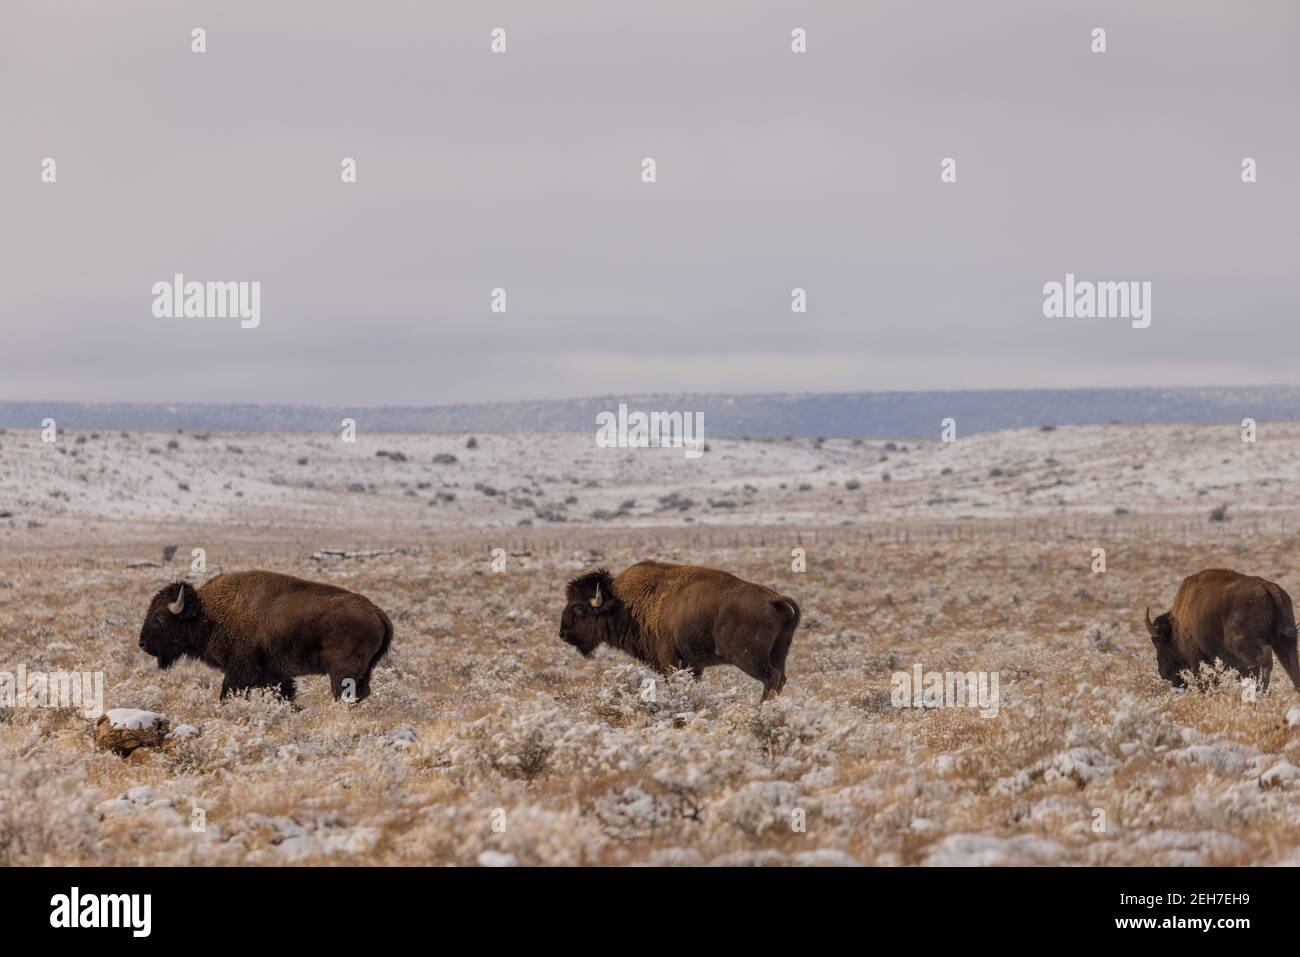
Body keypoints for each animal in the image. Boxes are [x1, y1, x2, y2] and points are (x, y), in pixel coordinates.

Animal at [138, 570, 393, 703]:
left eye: (160, 617)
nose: (142, 643)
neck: (208, 613)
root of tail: (377, 612)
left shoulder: (239, 671)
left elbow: (227, 692)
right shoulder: (275, 675)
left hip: (343, 670)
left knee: (344, 693)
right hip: (365, 669)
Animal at [558, 561, 801, 702]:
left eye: (579, 608)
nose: (562, 634)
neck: (623, 603)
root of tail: (774, 600)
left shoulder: (670, 662)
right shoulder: (693, 665)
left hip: (748, 658)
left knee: (771, 677)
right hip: (779, 652)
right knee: (781, 678)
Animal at [1145, 568, 1300, 691]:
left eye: (1159, 643)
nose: (1163, 673)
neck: (1177, 625)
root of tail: (1268, 586)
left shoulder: (1197, 657)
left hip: (1241, 645)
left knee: (1265, 657)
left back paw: (1260, 690)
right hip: (1286, 641)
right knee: (1291, 665)